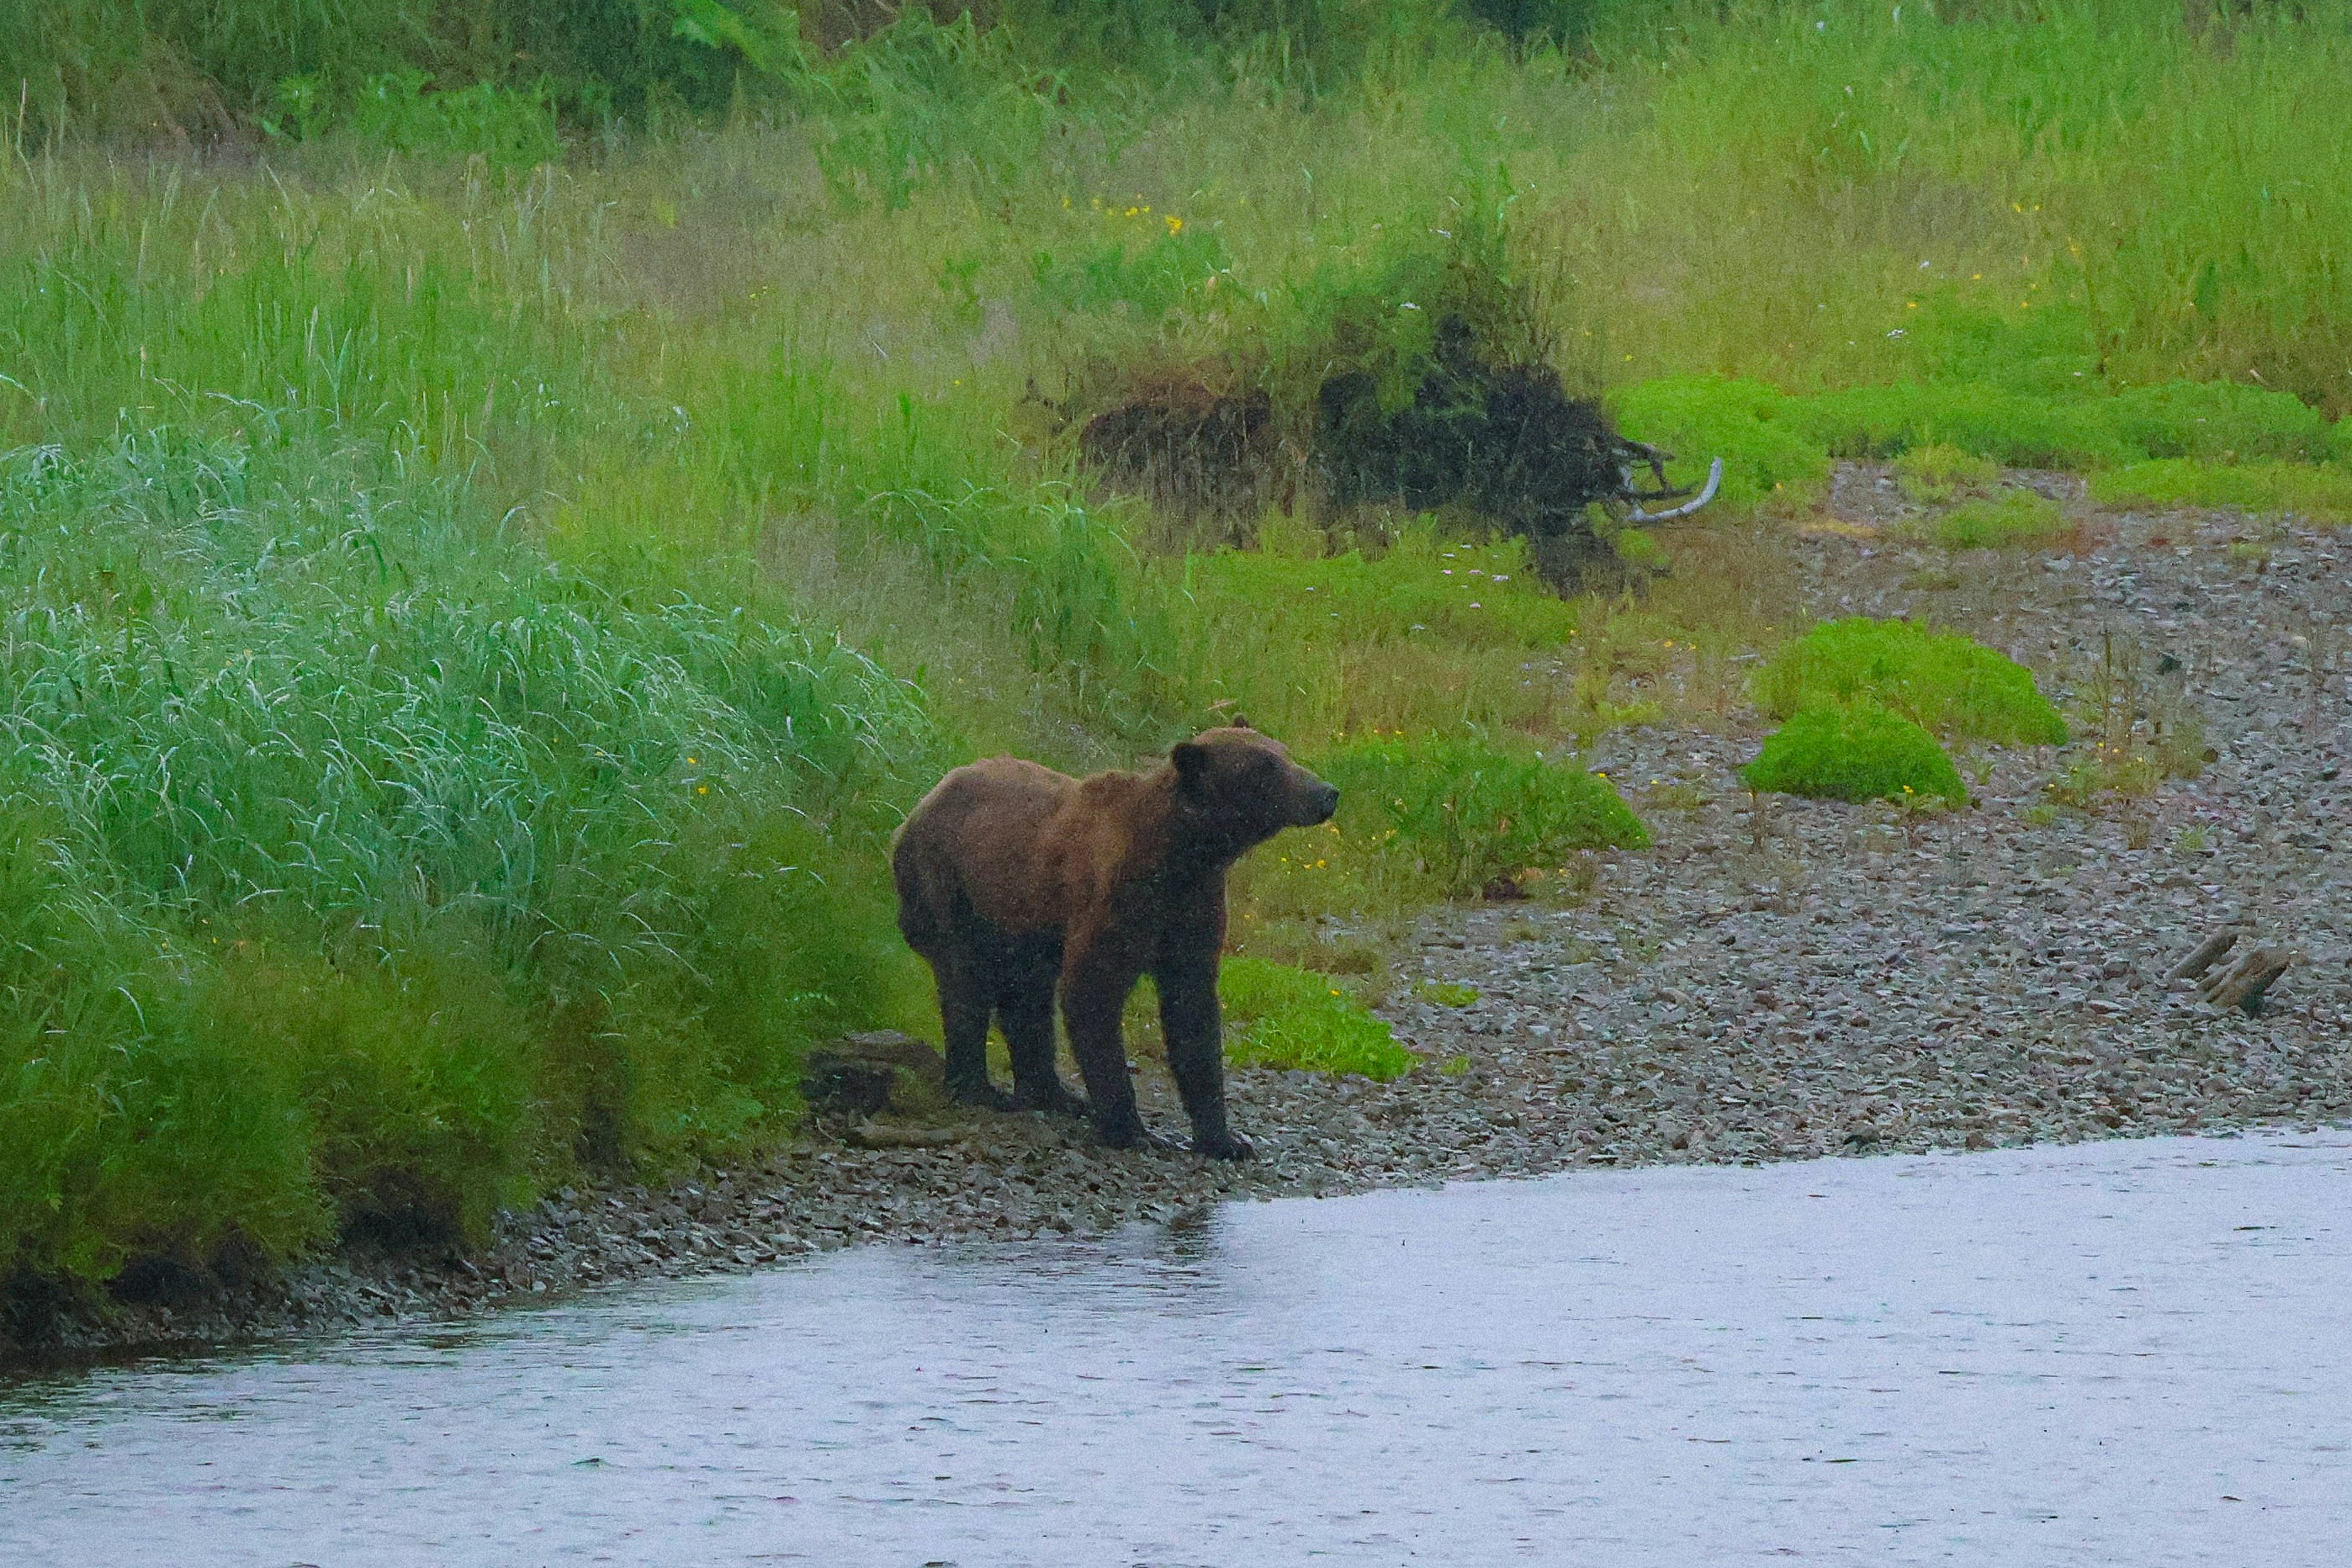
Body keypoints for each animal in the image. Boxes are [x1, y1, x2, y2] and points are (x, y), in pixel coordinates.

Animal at [891, 723, 1339, 1159]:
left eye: (1283, 752)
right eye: (1265, 766)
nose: (1327, 792)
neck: (1183, 855)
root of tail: (919, 806)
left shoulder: (1193, 910)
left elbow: (1193, 1014)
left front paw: (1224, 1140)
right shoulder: (1116, 899)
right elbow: (1094, 991)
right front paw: (1131, 1129)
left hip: (1023, 917)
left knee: (1027, 995)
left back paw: (1054, 1095)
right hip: (949, 884)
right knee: (965, 980)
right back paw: (978, 1088)